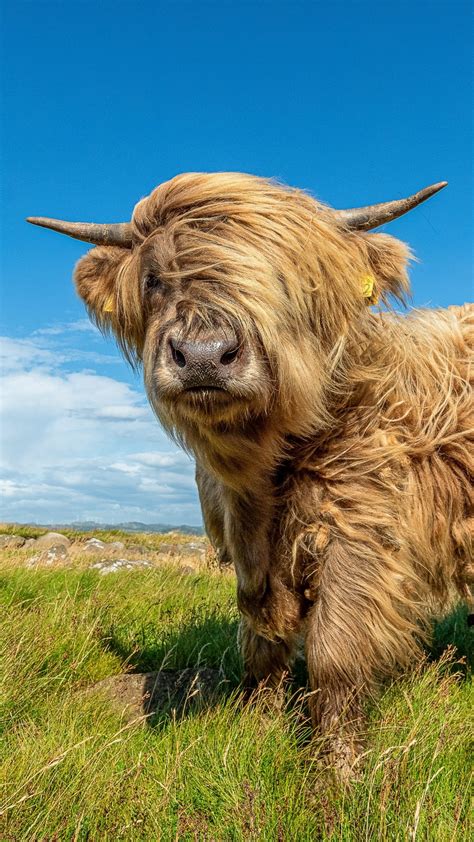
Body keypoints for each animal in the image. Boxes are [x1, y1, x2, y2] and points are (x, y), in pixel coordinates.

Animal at [28, 172, 473, 778]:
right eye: (153, 279)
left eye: (289, 281)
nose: (204, 356)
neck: (264, 472)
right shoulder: (247, 549)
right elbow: (260, 643)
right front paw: (255, 729)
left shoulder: (362, 528)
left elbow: (335, 654)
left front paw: (339, 775)